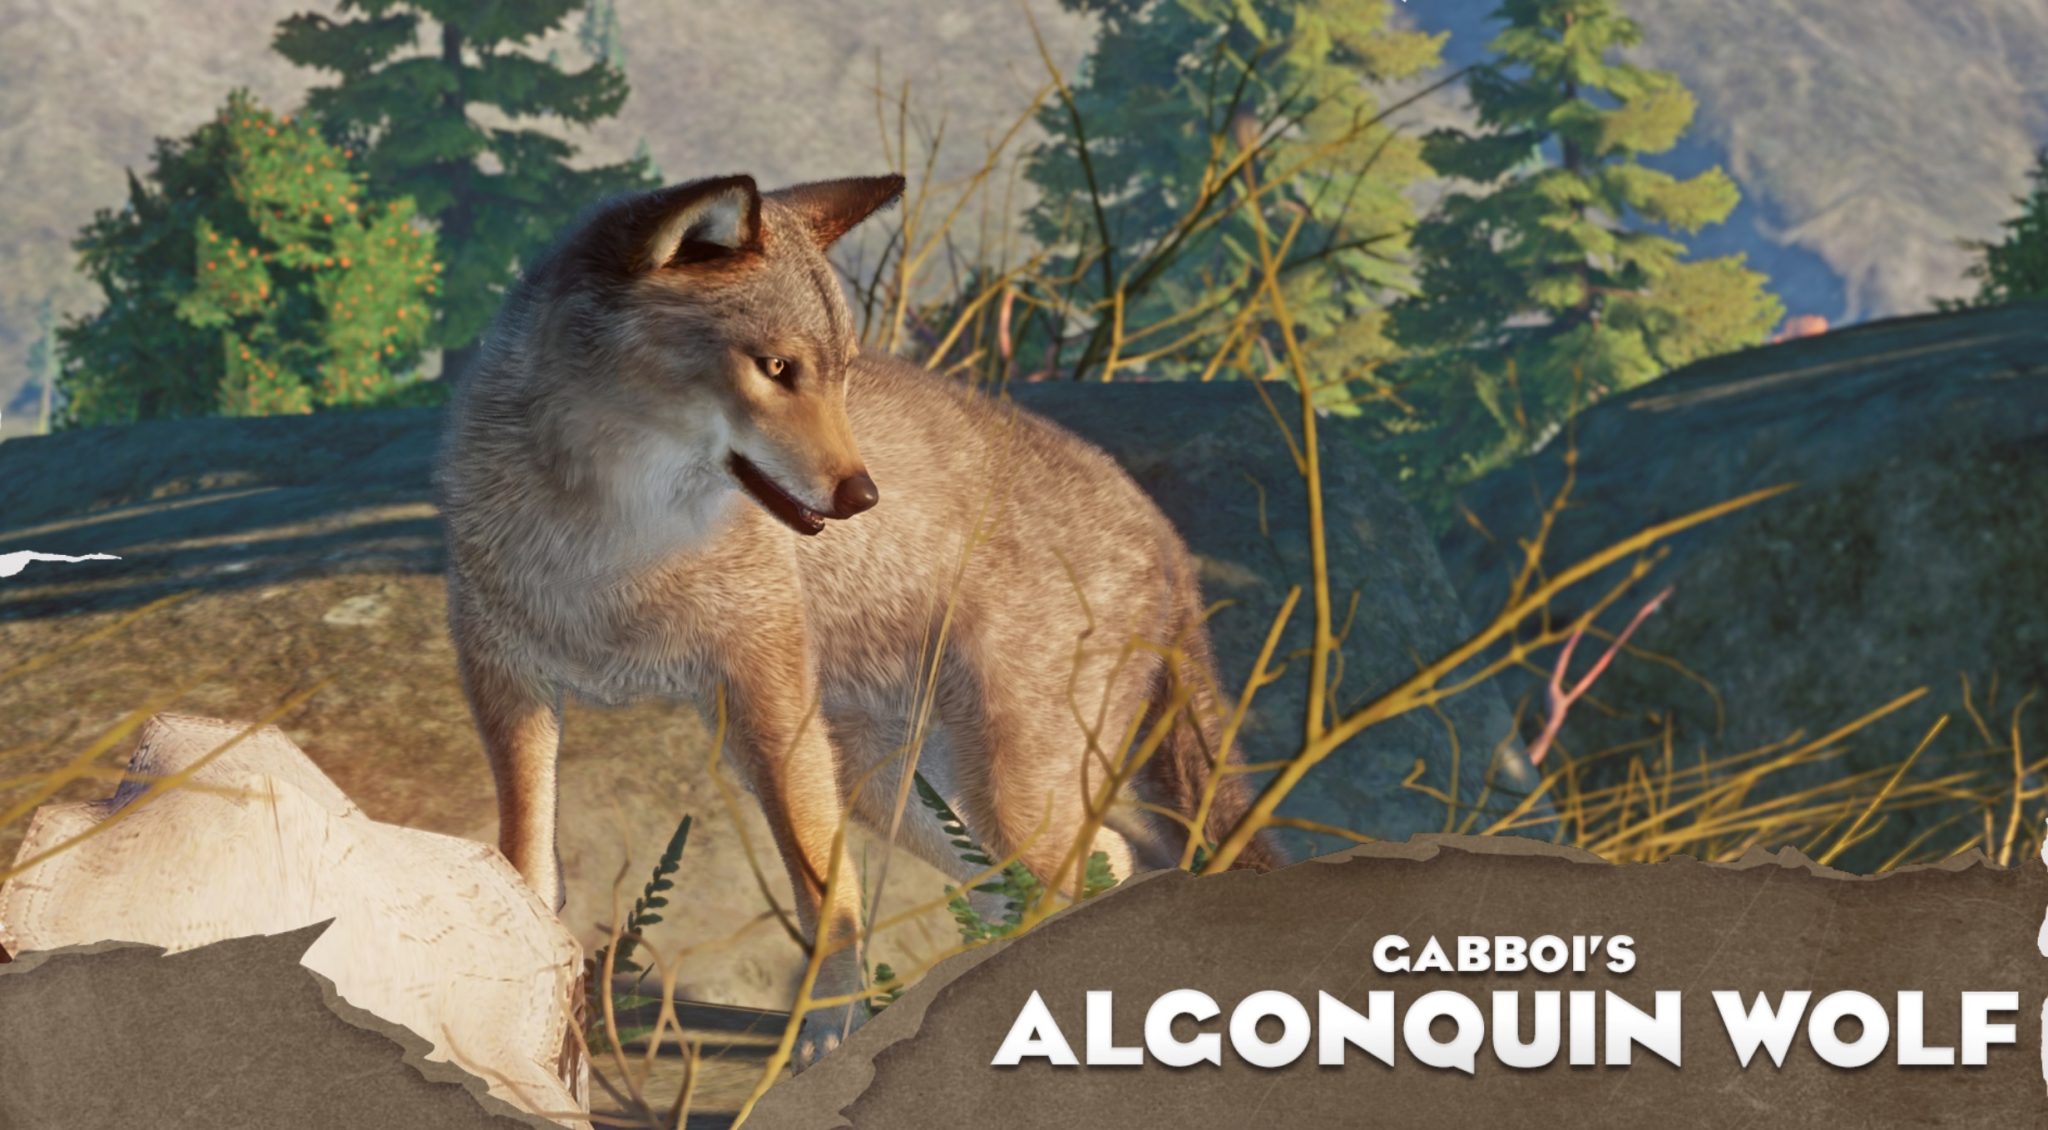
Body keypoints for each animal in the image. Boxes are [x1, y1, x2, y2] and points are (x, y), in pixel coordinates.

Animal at [435, 172, 1281, 1066]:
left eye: (841, 376)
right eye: (777, 368)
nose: (863, 495)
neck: (609, 539)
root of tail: (1163, 532)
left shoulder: (770, 707)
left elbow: (824, 895)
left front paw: (825, 1035)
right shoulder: (508, 684)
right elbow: (529, 869)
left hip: (994, 796)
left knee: (1079, 871)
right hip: (903, 791)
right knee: (1073, 870)